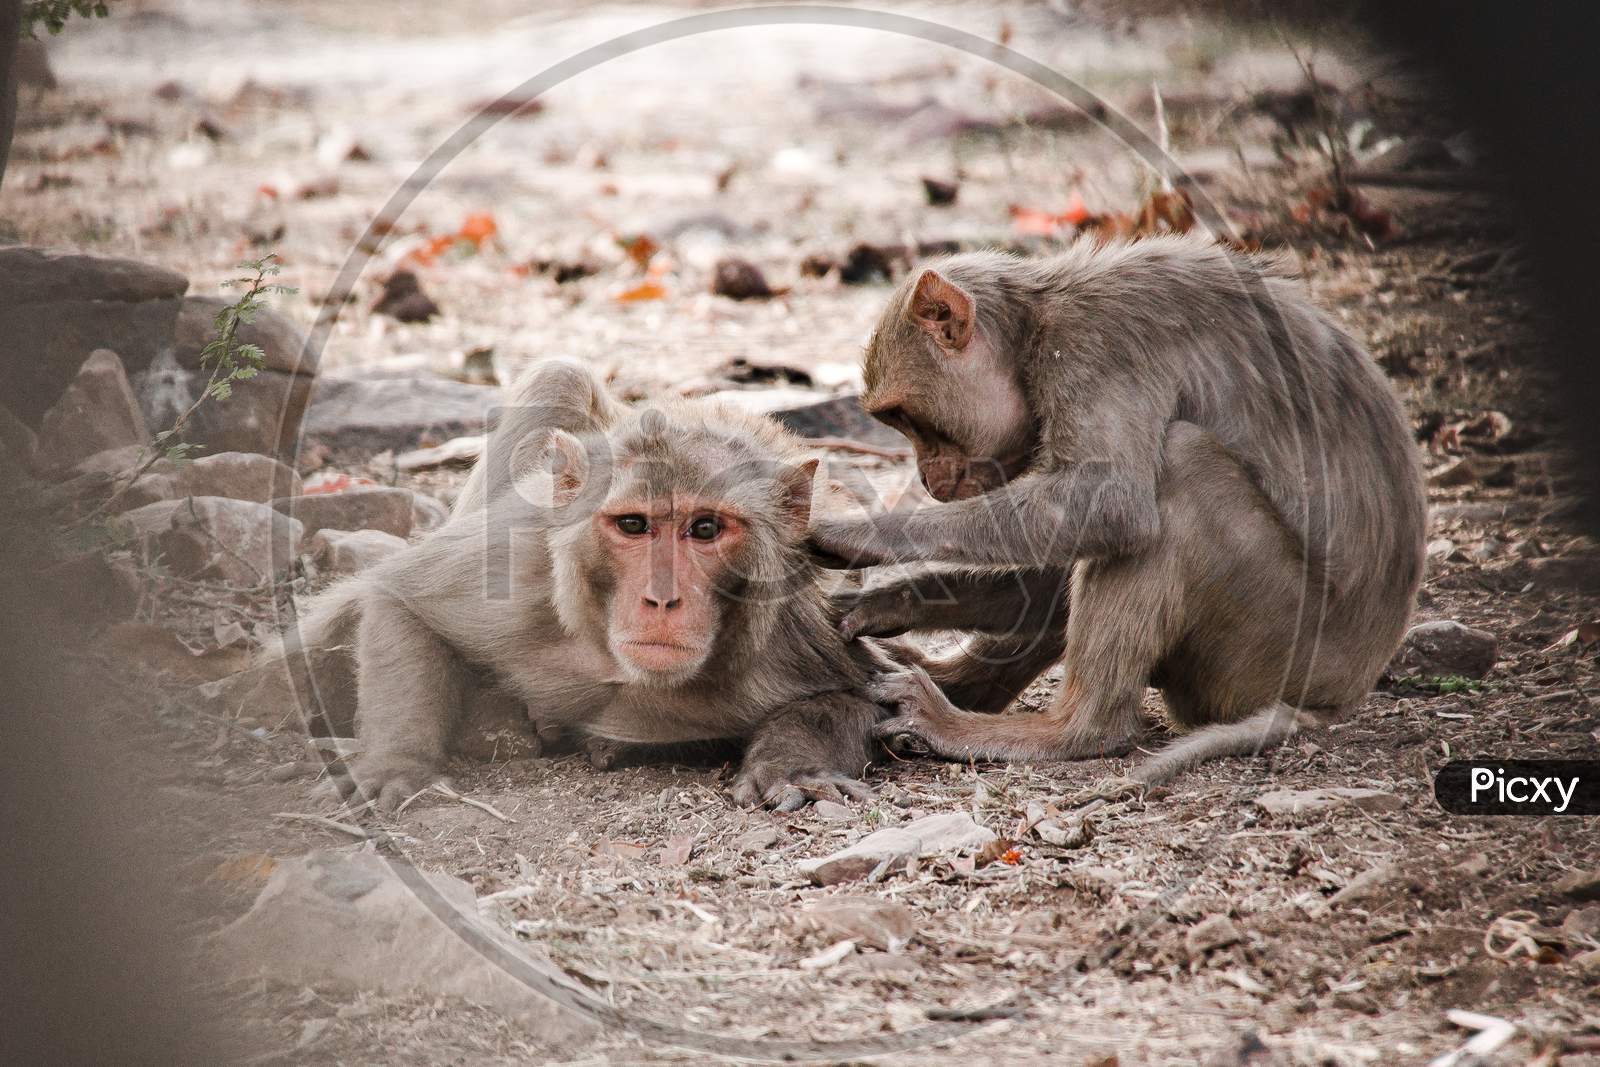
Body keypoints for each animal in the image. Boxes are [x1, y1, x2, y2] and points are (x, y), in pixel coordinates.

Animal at [277, 359, 888, 812]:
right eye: (634, 525)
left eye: (705, 529)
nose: (661, 599)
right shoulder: (514, 572)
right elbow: (402, 598)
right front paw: (393, 764)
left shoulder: (797, 624)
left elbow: (858, 697)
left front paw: (794, 764)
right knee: (560, 375)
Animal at [810, 235, 1427, 790]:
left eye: (906, 418)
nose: (926, 478)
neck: (1036, 324)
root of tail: (1345, 689)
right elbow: (1057, 566)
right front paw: (886, 601)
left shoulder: (1093, 349)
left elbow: (1112, 507)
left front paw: (861, 535)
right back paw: (963, 690)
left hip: (1277, 645)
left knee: (1179, 469)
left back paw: (1067, 731)